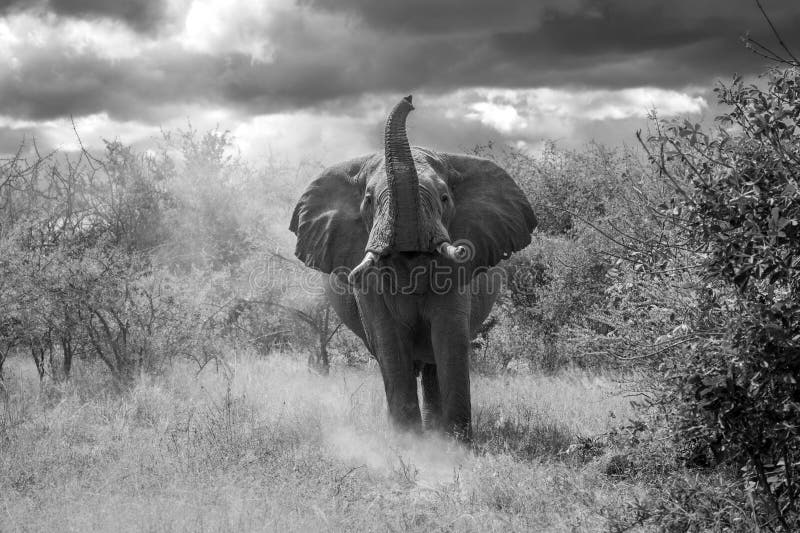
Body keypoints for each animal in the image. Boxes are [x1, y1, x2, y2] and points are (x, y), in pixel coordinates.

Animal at [289, 96, 536, 441]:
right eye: (369, 200)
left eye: (444, 198)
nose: (409, 100)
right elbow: (390, 341)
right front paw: (408, 441)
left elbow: (448, 336)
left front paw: (454, 443)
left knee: (432, 362)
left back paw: (436, 431)